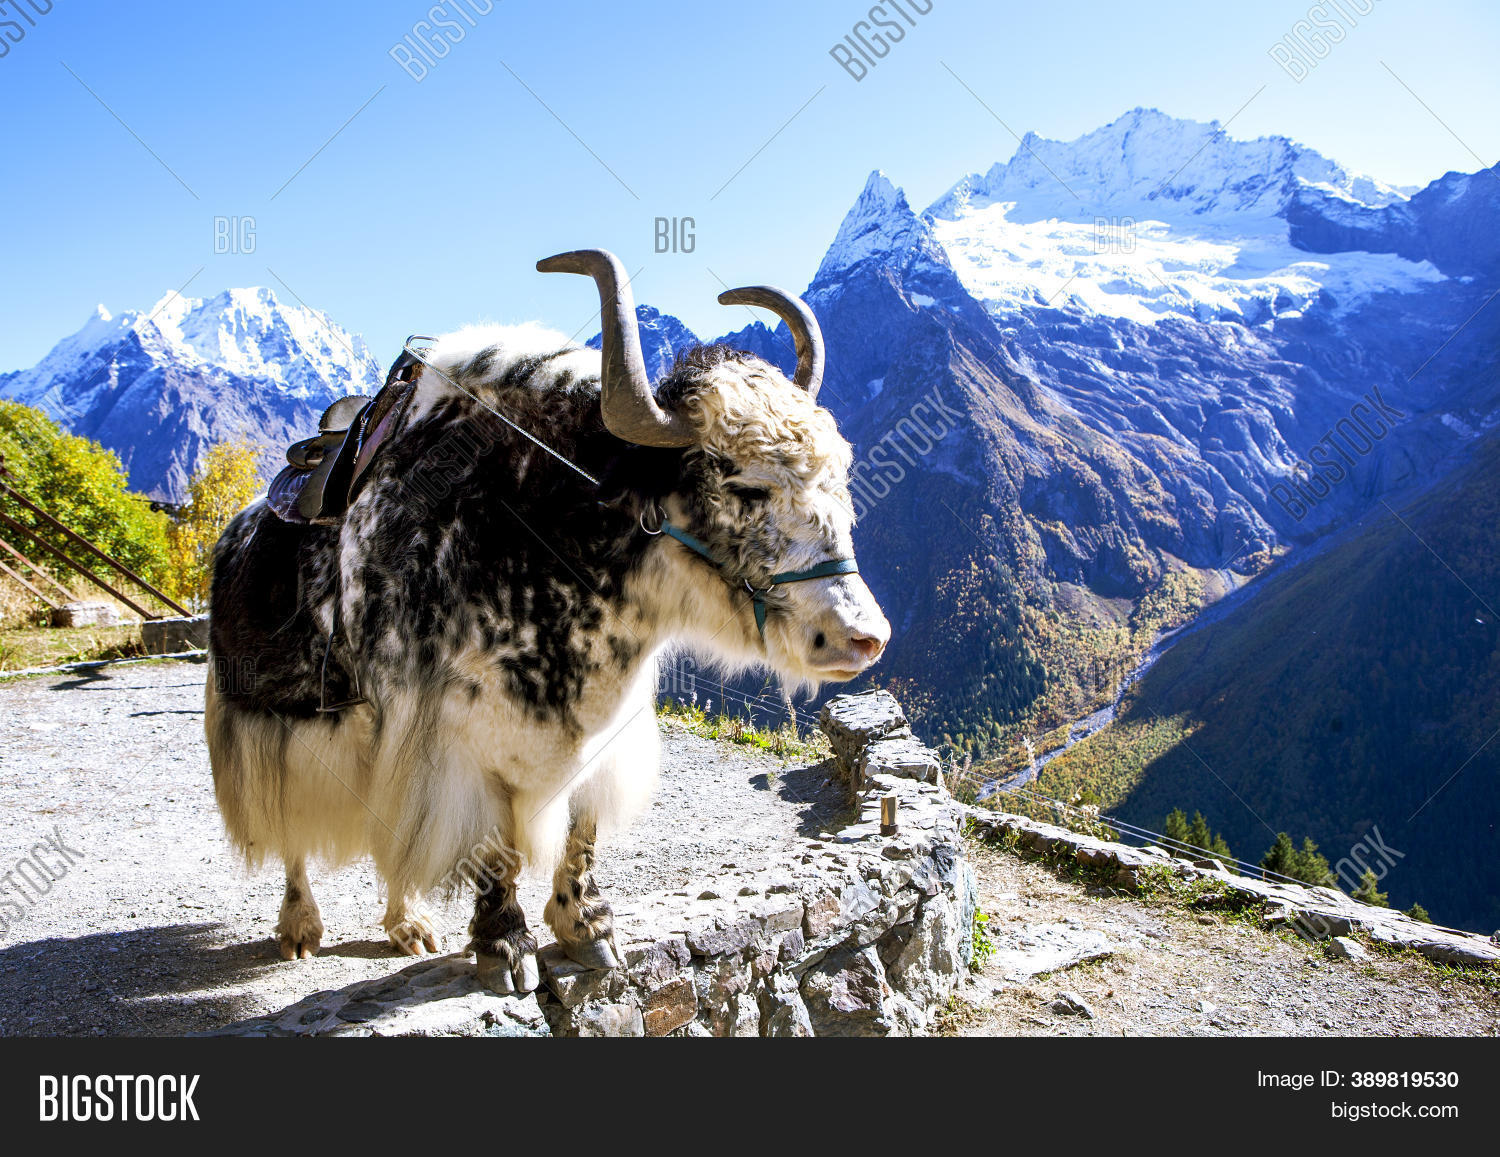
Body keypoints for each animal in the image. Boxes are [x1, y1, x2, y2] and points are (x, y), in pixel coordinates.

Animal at [205, 249, 890, 994]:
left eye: (839, 477)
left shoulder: (599, 741)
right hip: (269, 719)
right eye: (745, 483)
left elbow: (579, 836)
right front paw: (504, 946)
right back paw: (301, 926)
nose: (865, 636)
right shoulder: (454, 746)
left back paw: (408, 924)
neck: (540, 525)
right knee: (291, 832)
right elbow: (494, 848)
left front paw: (588, 931)